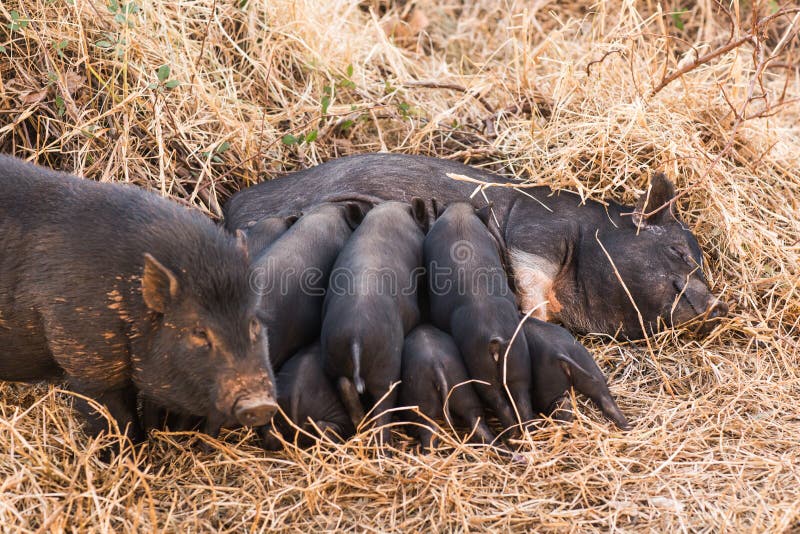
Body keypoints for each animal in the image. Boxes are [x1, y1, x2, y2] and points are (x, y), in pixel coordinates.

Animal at [425, 202, 534, 435]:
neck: (459, 215)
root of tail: (495, 337)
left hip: (480, 366)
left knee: (498, 401)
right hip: (517, 360)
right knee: (520, 398)